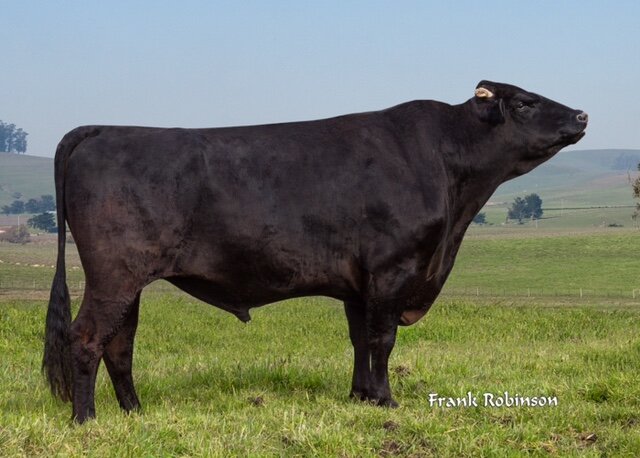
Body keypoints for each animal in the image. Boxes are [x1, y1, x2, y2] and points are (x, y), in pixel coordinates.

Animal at [43, 81, 587, 422]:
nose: (582, 113)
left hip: (128, 280)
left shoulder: (358, 283)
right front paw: (386, 400)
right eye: (525, 103)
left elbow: (360, 339)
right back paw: (86, 421)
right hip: (113, 275)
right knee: (86, 338)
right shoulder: (392, 269)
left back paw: (135, 413)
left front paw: (360, 396)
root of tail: (104, 129)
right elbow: (383, 339)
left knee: (120, 344)